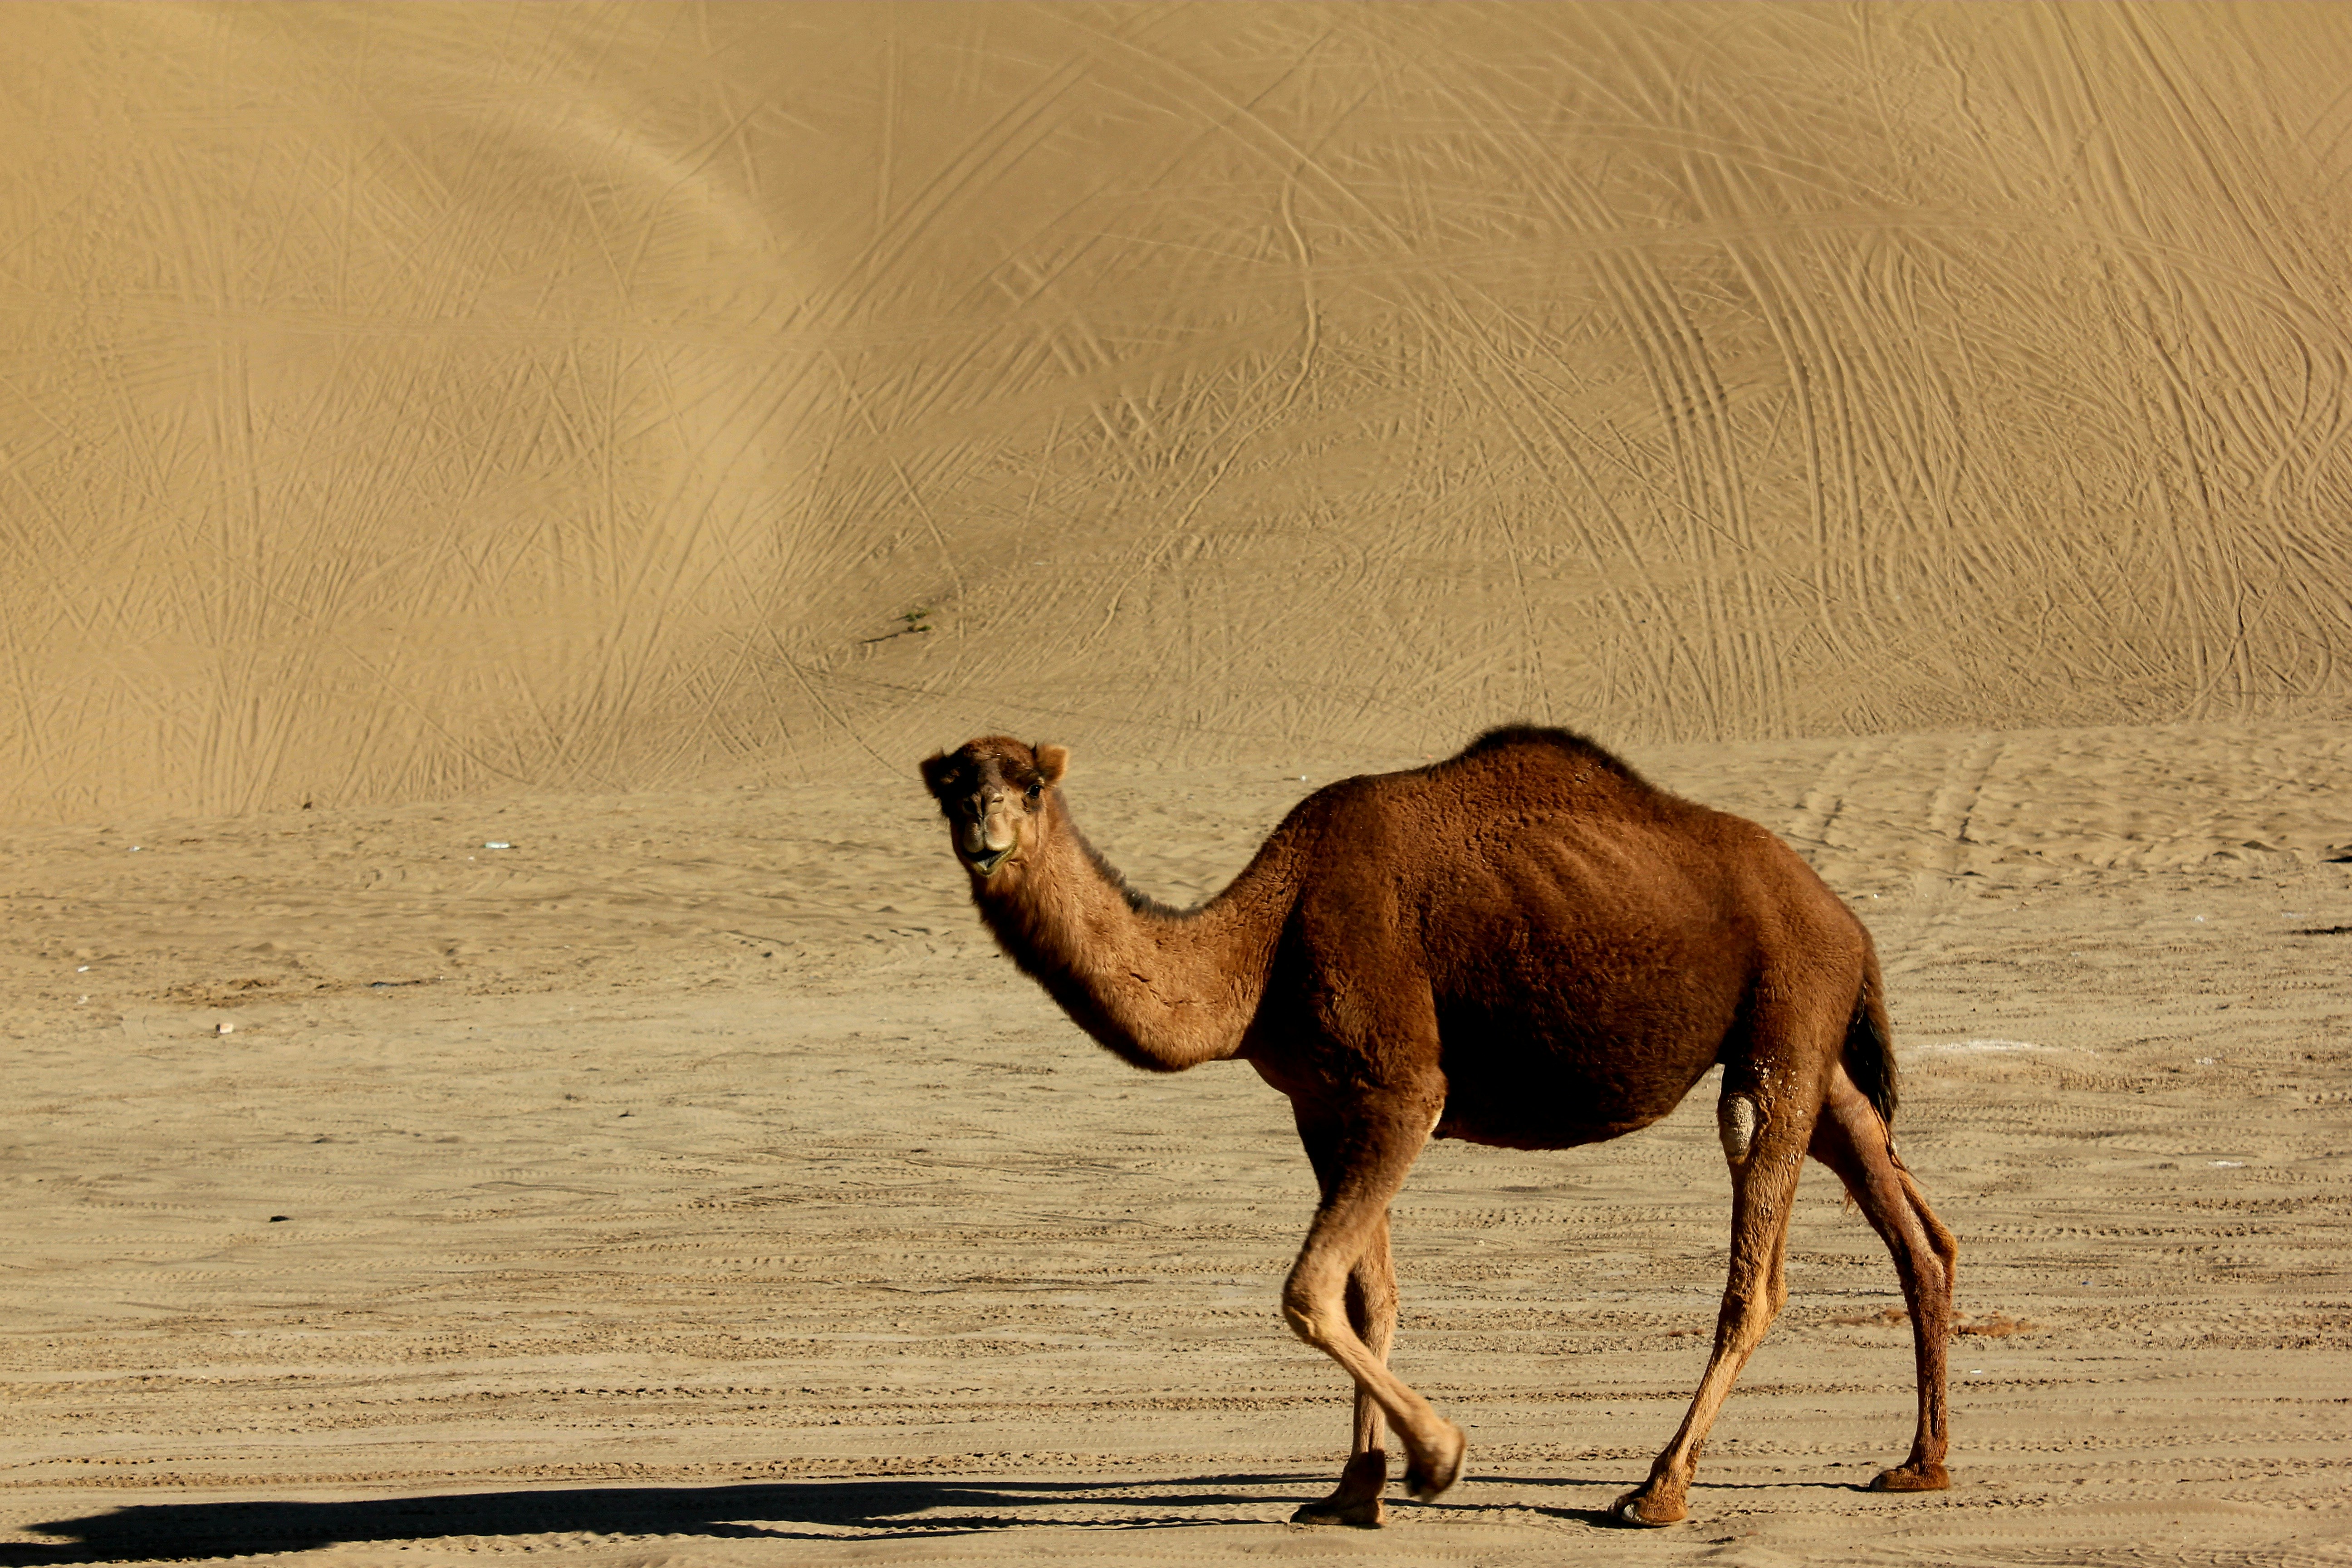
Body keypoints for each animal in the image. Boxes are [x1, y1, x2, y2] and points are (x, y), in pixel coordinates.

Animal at [919, 725, 1955, 1528]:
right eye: (955, 786)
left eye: (1029, 784)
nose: (984, 833)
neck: (1261, 947)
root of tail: (1846, 919)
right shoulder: (1323, 1102)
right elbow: (1366, 1296)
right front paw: (1352, 1490)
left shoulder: (1403, 1086)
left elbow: (1307, 1289)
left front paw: (1438, 1456)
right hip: (1815, 1050)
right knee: (1914, 1230)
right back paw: (1920, 1462)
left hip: (1784, 1010)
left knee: (1756, 1264)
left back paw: (1657, 1489)